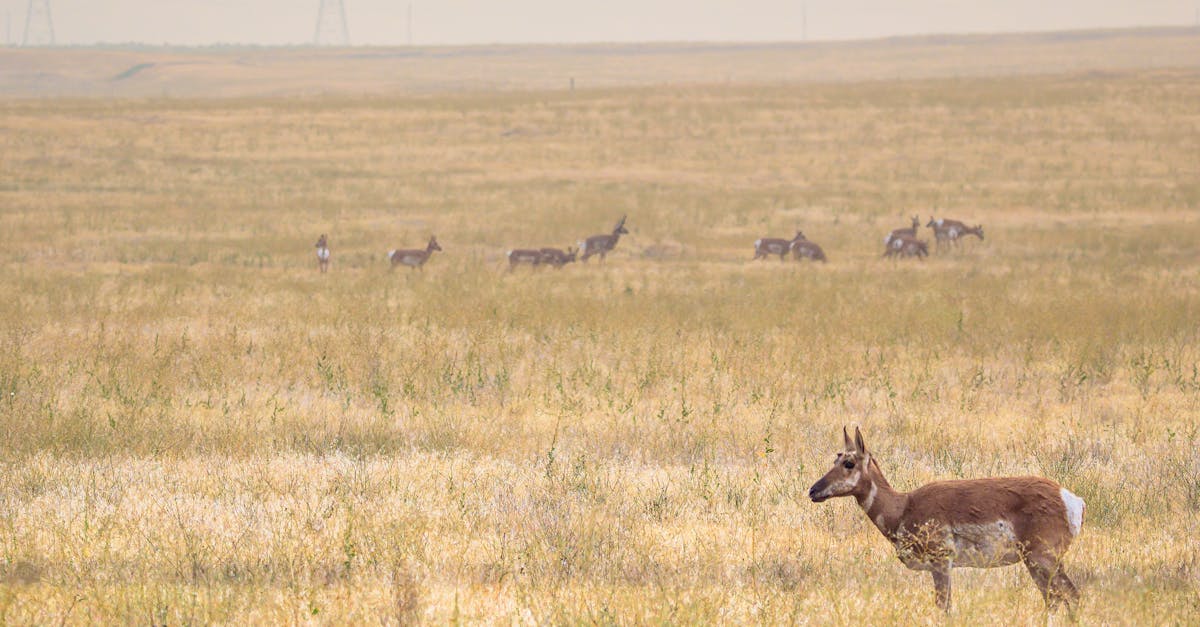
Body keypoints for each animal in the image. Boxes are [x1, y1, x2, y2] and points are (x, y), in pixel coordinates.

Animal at [806, 425, 1089, 610]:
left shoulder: (941, 562)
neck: (904, 506)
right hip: (1035, 563)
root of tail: (1070, 498)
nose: (813, 490)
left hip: (1043, 559)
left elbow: (943, 607)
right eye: (835, 459)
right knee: (1054, 600)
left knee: (1071, 596)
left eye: (849, 463)